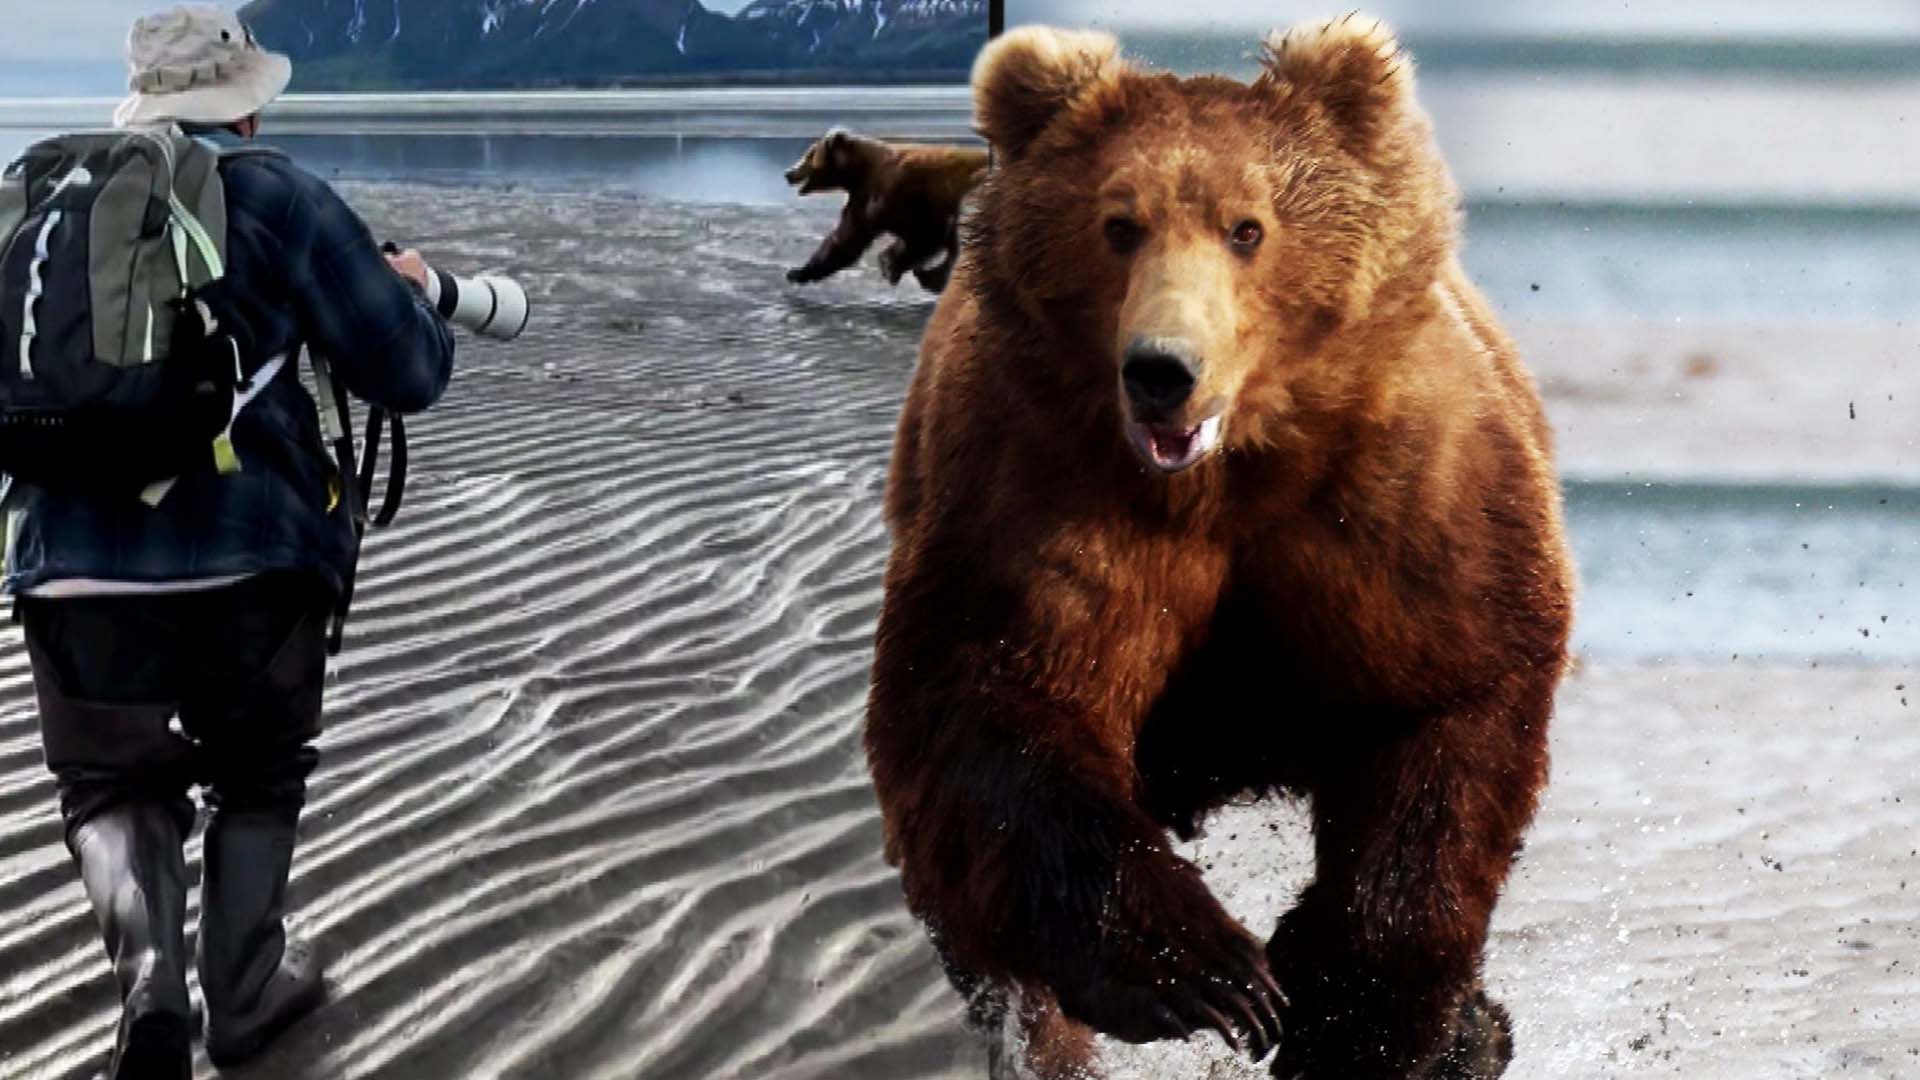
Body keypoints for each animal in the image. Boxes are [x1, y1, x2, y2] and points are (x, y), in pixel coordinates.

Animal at [783, 128, 989, 293]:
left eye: (810, 155)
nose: (788, 173)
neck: (858, 172)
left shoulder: (898, 195)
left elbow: (923, 236)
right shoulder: (865, 200)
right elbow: (848, 236)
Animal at [864, 16, 1574, 1080]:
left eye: (1249, 229)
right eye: (1119, 224)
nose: (1163, 369)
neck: (1230, 478)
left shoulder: (1399, 505)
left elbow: (1449, 709)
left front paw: (1342, 1013)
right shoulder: (1037, 493)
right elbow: (997, 699)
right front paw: (1213, 976)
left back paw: (1470, 1033)